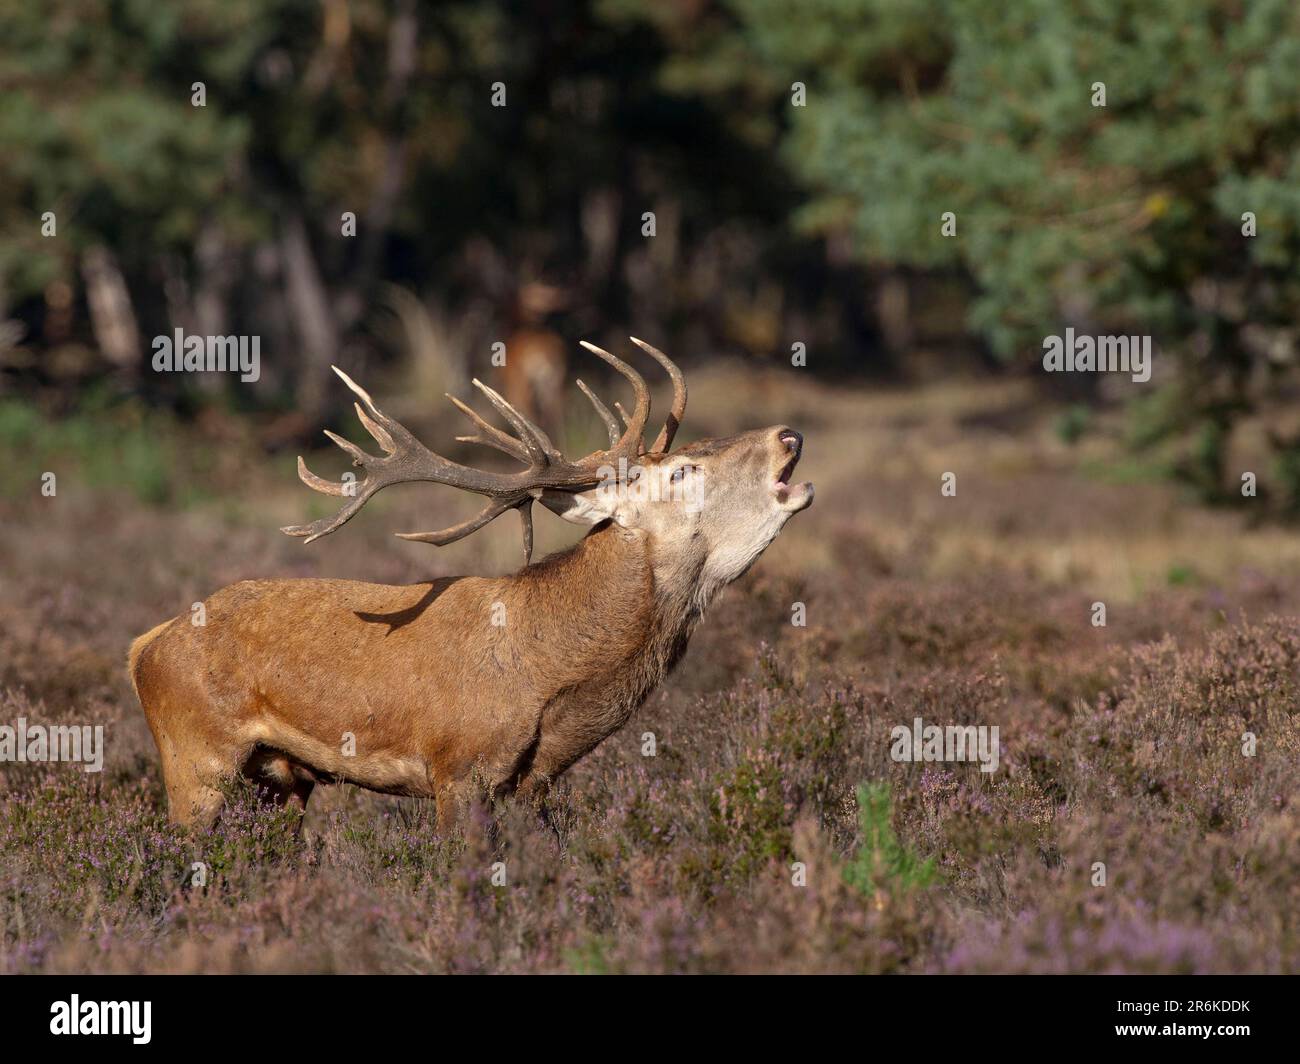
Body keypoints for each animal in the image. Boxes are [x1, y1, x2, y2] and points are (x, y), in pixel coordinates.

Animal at [128, 338, 812, 832]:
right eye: (683, 470)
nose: (789, 435)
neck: (546, 676)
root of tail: (143, 645)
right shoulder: (457, 766)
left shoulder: (533, 787)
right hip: (195, 758)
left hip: (281, 781)